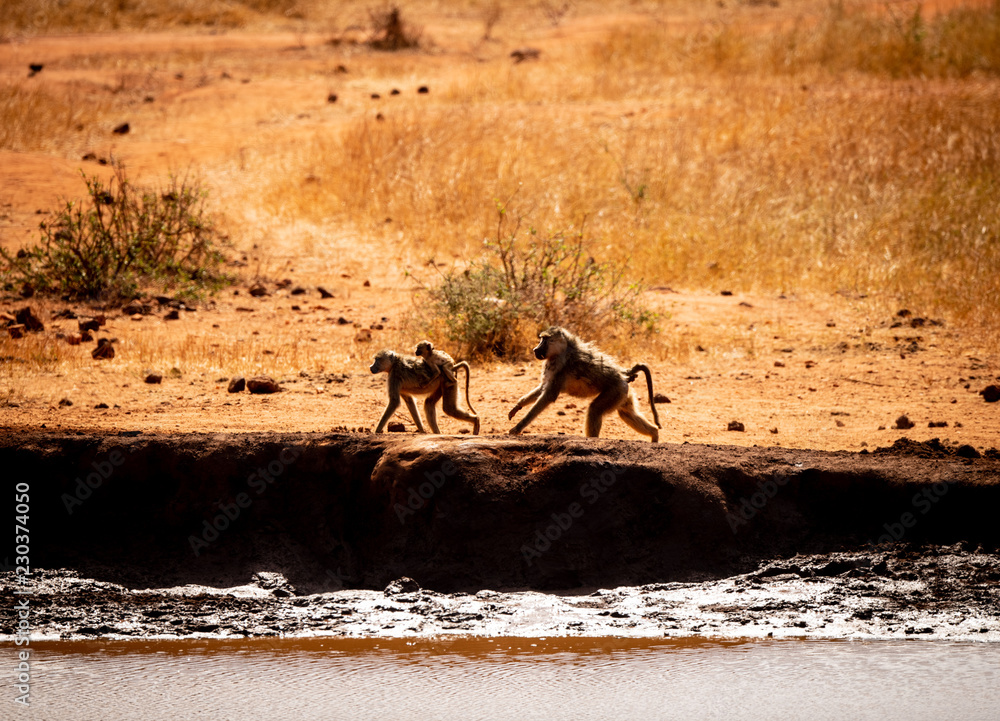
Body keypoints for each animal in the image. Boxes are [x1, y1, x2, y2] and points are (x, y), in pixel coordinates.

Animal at [507, 326, 661, 442]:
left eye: (544, 340)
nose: (535, 349)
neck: (563, 350)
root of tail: (622, 375)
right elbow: (542, 389)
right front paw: (517, 406)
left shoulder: (561, 369)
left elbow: (548, 396)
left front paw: (518, 428)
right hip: (623, 393)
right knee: (626, 413)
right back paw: (654, 434)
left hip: (616, 390)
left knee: (595, 410)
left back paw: (592, 439)